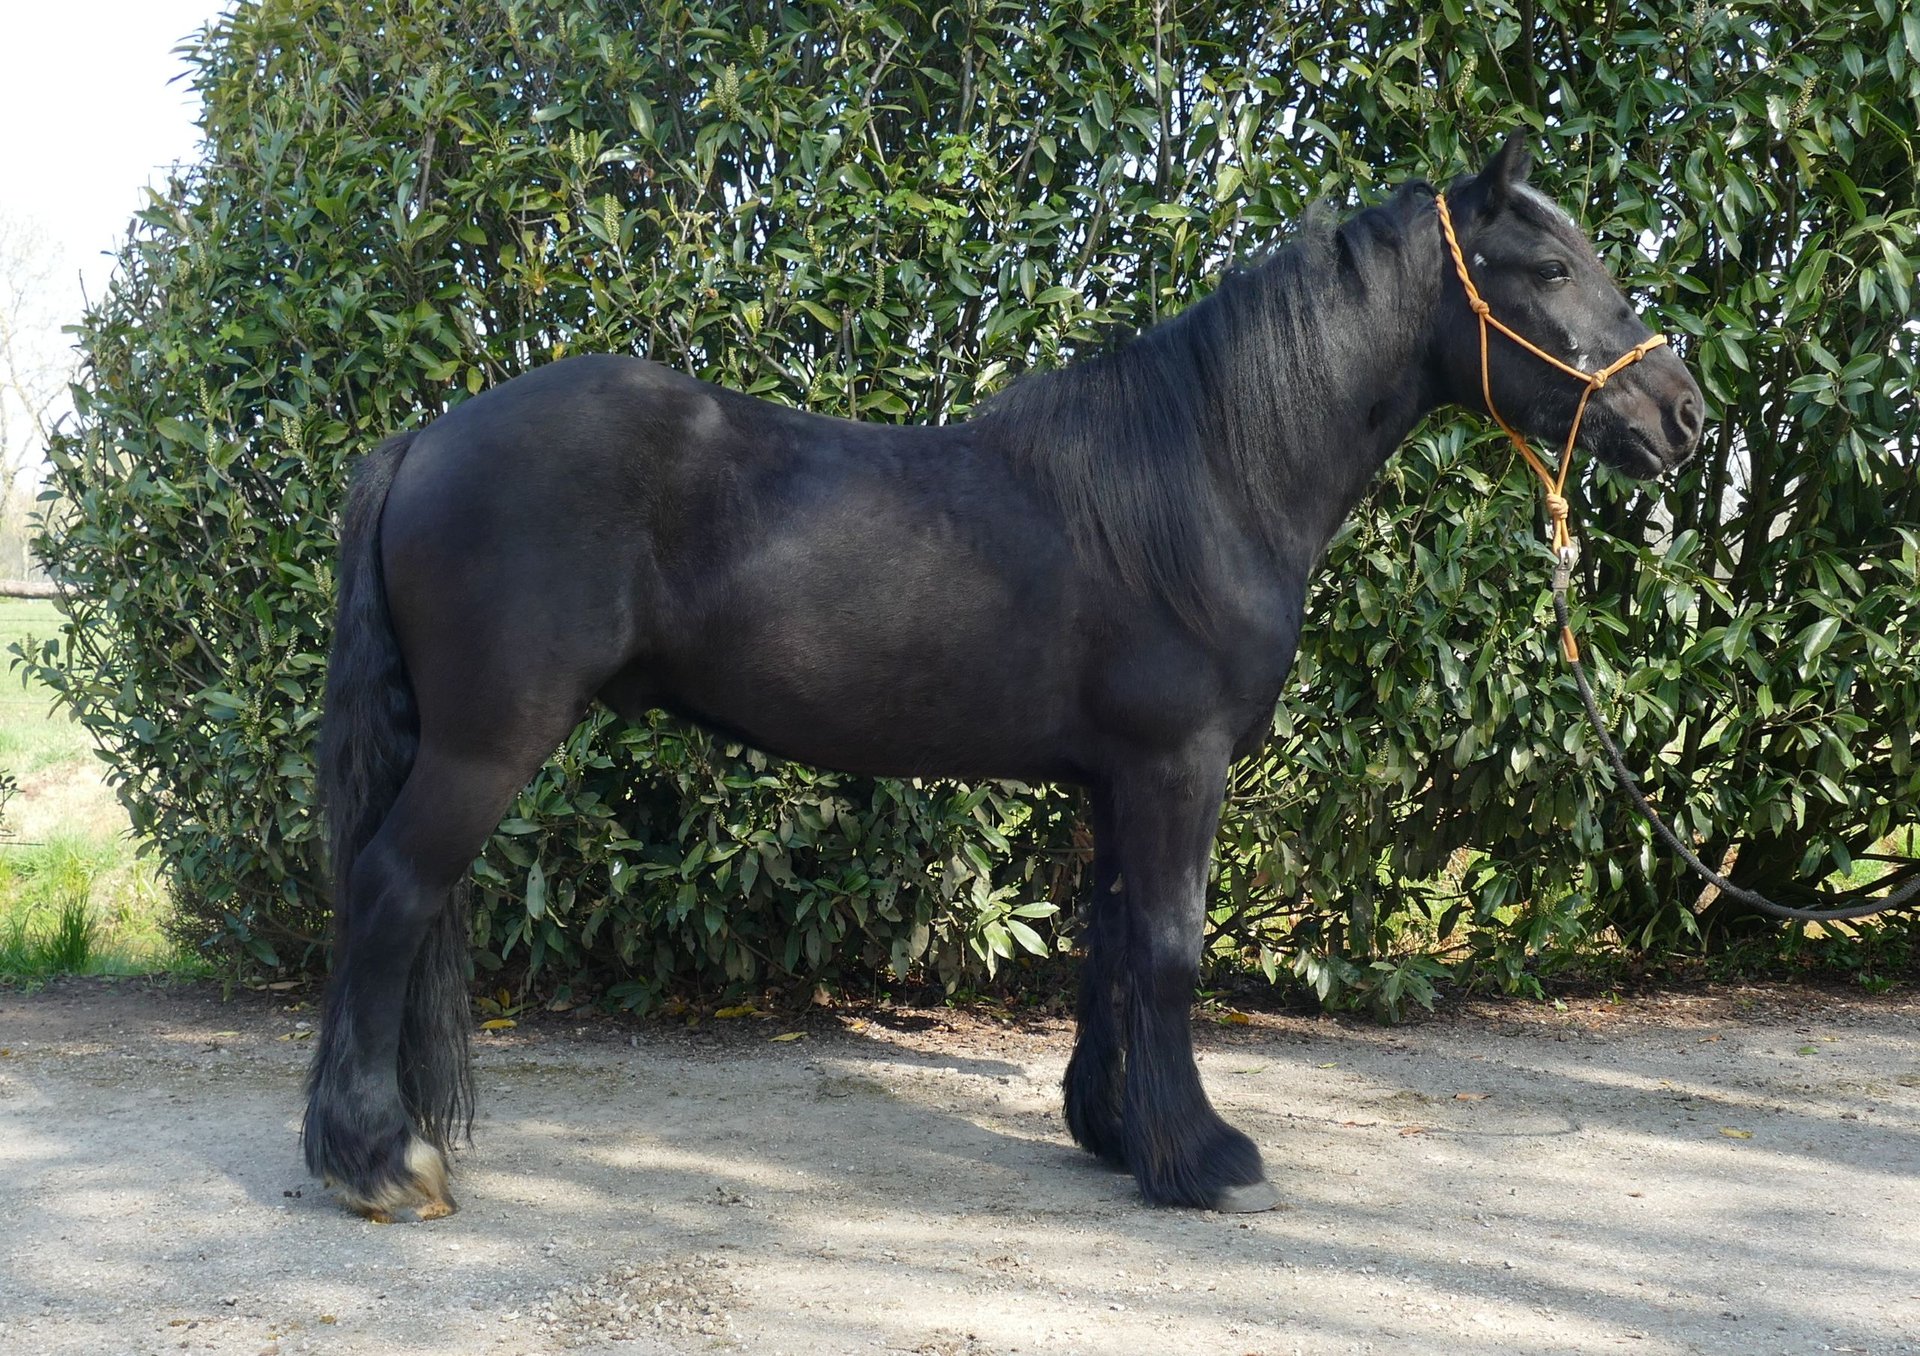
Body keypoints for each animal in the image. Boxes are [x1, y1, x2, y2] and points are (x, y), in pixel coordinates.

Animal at [303, 135, 1704, 1222]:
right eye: (1552, 270)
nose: (1684, 417)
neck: (1208, 477)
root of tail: (427, 438)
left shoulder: (1119, 782)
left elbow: (1115, 947)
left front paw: (1118, 1131)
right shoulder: (1177, 767)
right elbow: (1172, 950)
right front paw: (1207, 1160)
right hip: (487, 745)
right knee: (386, 893)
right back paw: (378, 1160)